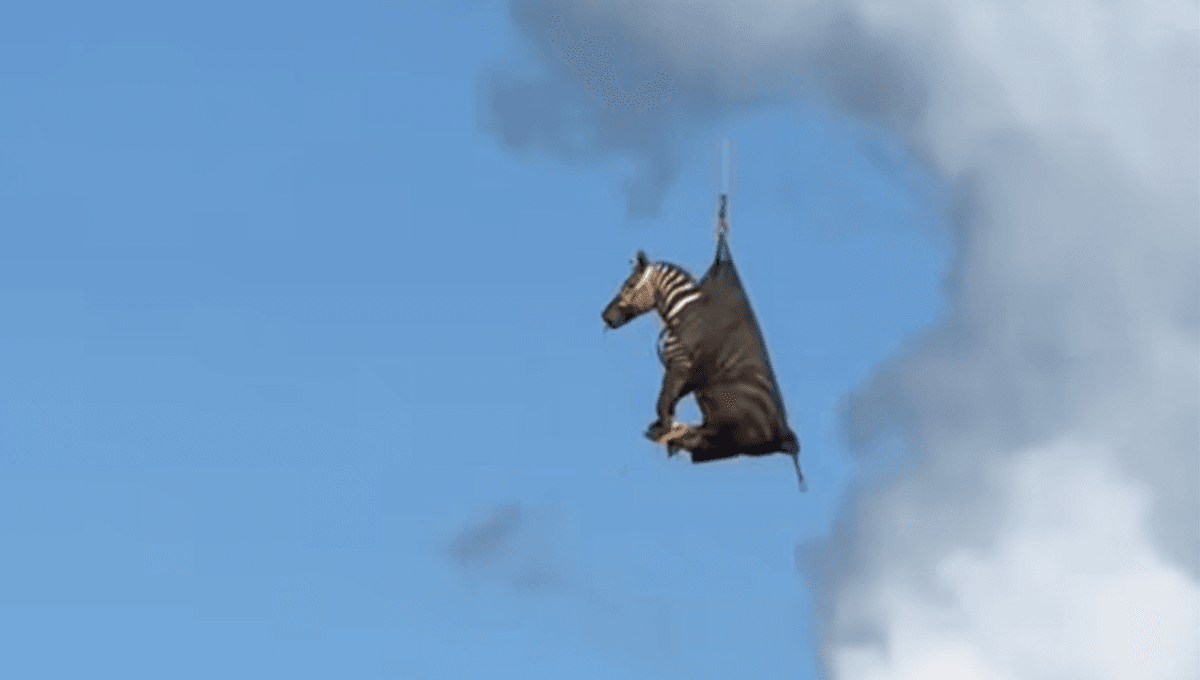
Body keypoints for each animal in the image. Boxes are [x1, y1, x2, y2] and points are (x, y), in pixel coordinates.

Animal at [602, 250, 801, 474]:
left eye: (630, 283)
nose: (606, 316)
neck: (685, 315)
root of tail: (783, 440)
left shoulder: (680, 367)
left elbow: (664, 402)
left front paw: (665, 431)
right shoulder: (683, 376)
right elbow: (666, 403)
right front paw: (664, 430)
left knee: (715, 441)